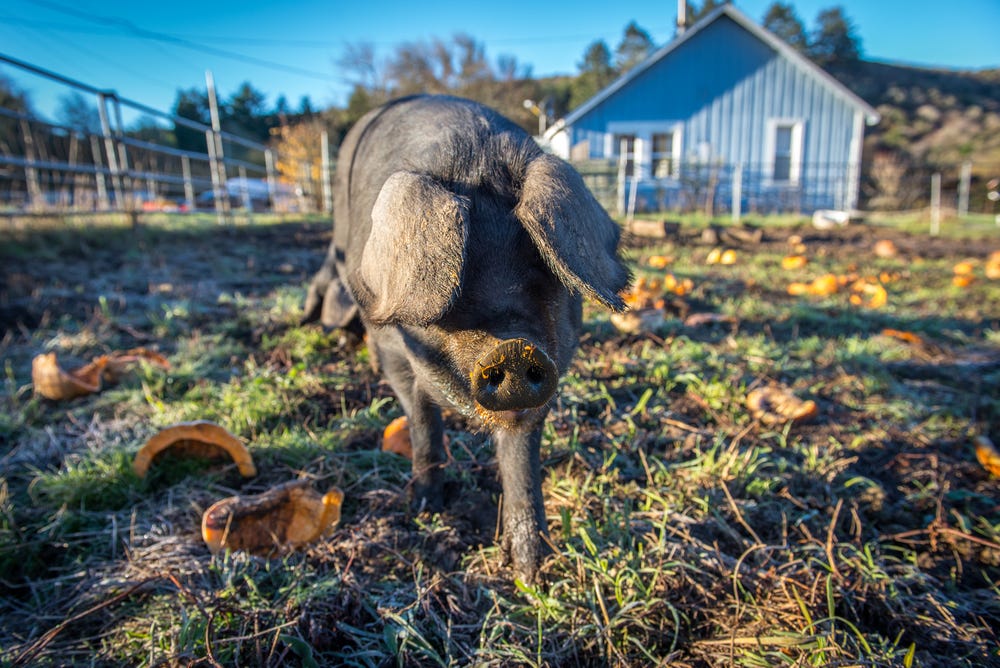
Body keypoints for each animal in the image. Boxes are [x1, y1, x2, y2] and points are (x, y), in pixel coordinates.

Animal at [302, 95, 629, 582]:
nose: (513, 348)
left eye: (541, 273)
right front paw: (424, 508)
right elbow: (422, 420)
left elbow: (521, 455)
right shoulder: (393, 351)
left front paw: (530, 571)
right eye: (457, 280)